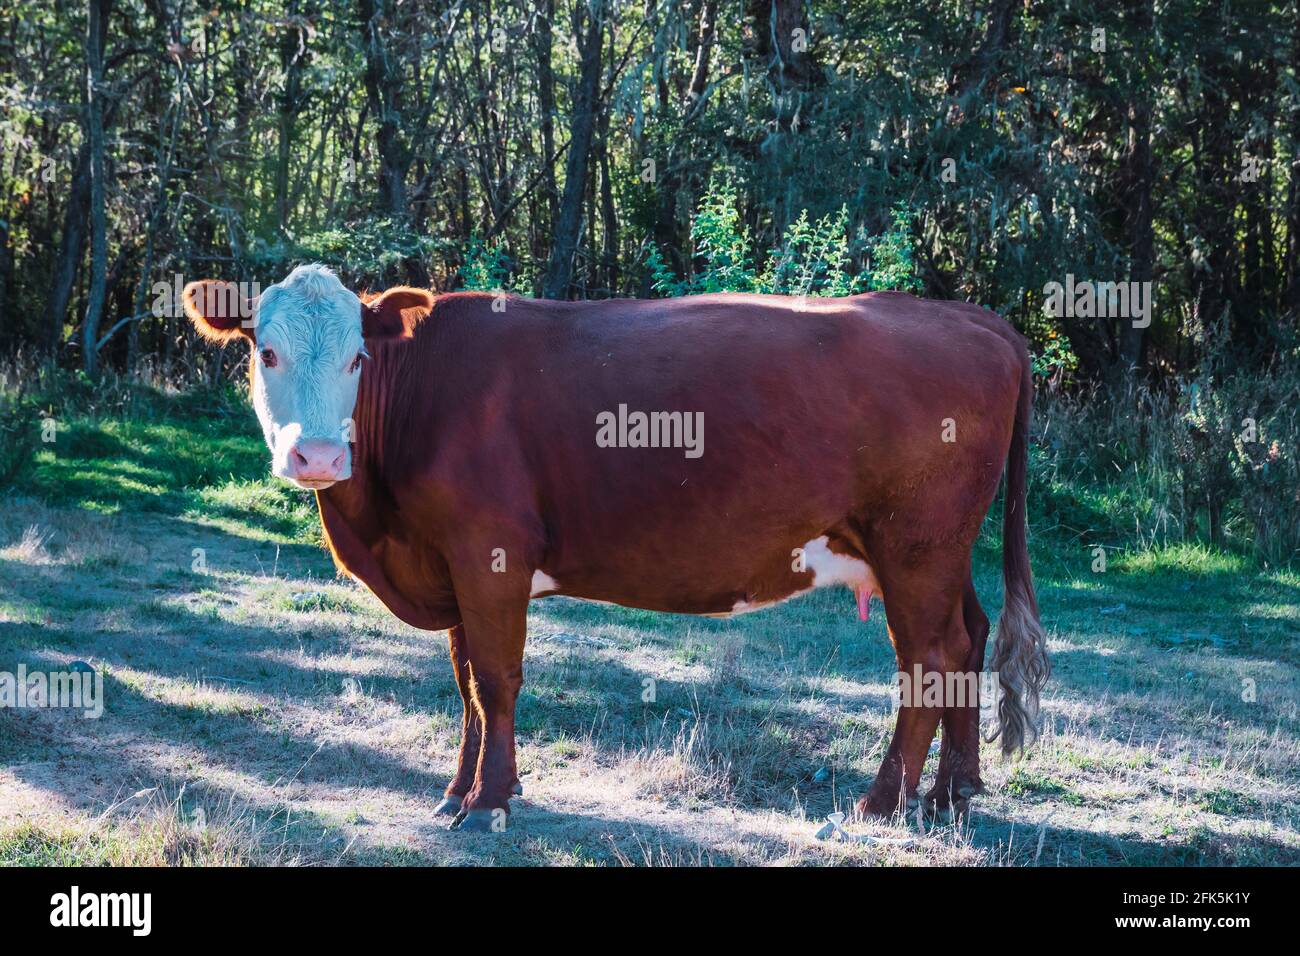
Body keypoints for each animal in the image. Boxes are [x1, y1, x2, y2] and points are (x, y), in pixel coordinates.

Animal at [184, 264, 1049, 832]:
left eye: (356, 357)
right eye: (265, 352)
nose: (318, 456)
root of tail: (975, 319)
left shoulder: (488, 551)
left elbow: (494, 679)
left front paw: (489, 802)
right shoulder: (451, 564)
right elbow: (464, 683)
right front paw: (459, 790)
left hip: (916, 548)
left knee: (927, 661)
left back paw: (879, 804)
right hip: (941, 554)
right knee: (967, 641)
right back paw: (953, 794)